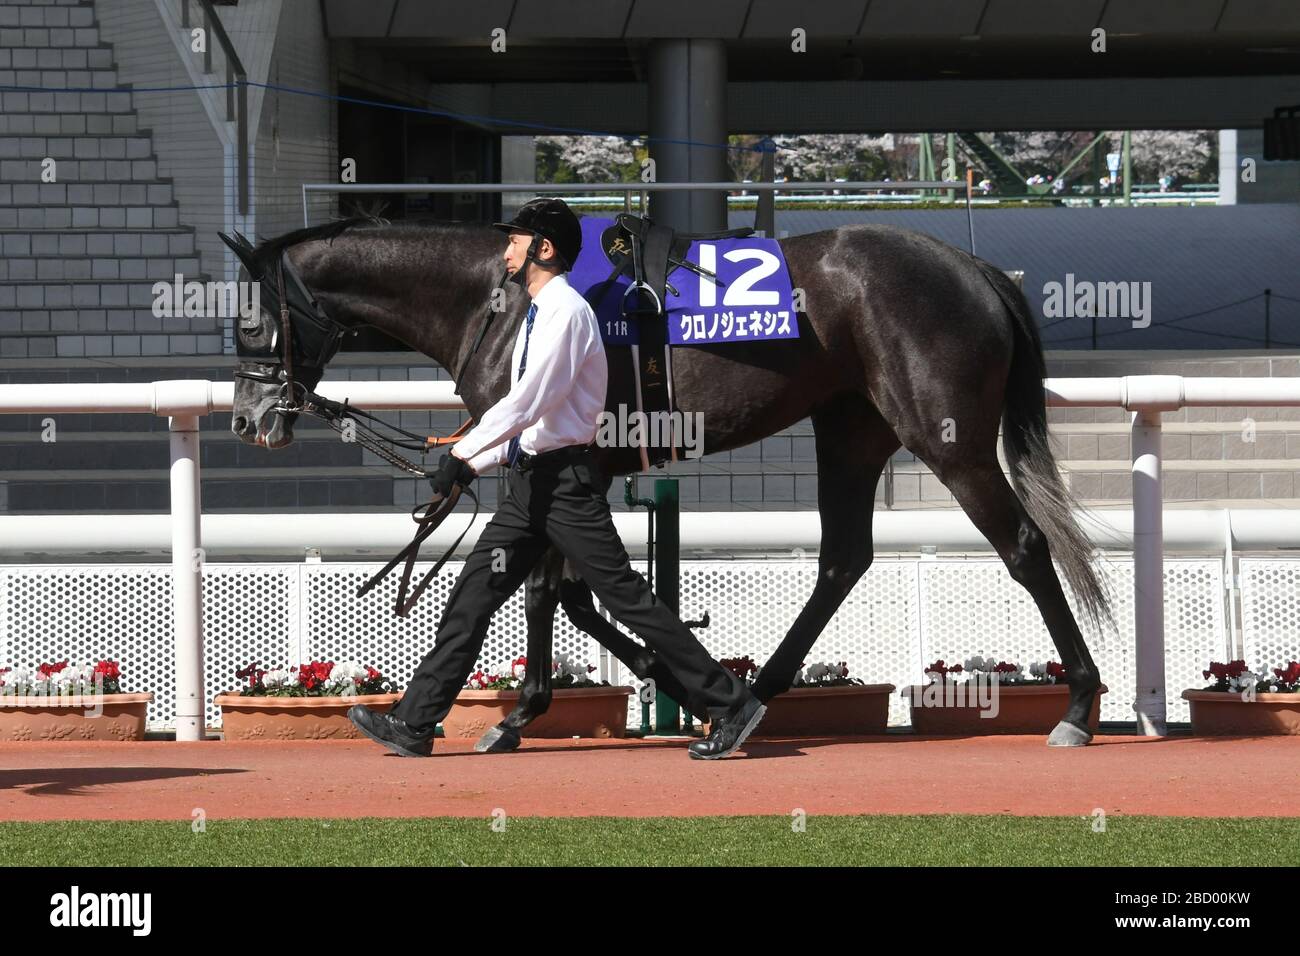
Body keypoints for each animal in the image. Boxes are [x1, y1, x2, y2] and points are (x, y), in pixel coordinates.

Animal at [226, 215, 1111, 751]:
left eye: (248, 322)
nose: (247, 420)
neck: (499, 300)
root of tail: (972, 266)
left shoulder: (542, 454)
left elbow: (550, 588)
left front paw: (532, 709)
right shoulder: (564, 466)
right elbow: (564, 589)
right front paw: (643, 678)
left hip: (945, 438)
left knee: (1025, 547)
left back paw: (1078, 707)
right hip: (851, 428)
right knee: (841, 559)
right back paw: (760, 694)